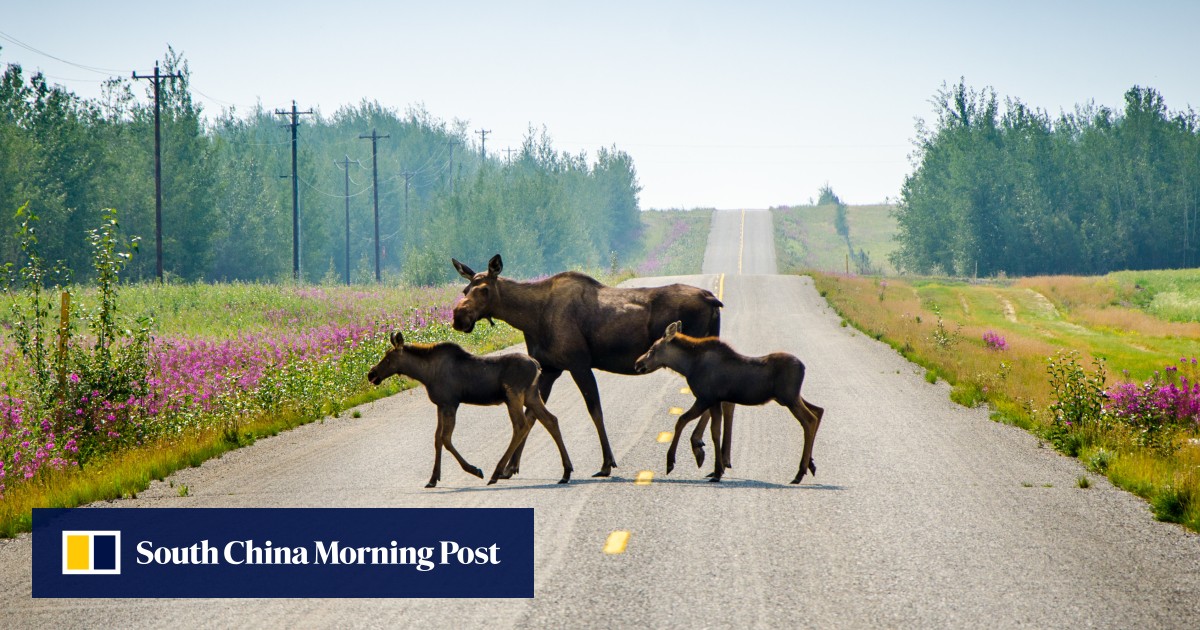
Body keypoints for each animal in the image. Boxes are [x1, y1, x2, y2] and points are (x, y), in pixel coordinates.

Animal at [366, 331, 573, 488]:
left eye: (388, 357)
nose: (371, 374)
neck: (424, 373)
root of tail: (537, 366)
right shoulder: (440, 405)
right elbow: (437, 439)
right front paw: (433, 479)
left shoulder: (450, 403)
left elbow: (446, 439)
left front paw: (474, 470)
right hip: (531, 395)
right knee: (550, 420)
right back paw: (566, 472)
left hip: (514, 396)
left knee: (521, 426)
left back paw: (496, 472)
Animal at [451, 254, 735, 478]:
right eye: (465, 290)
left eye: (484, 289)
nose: (458, 317)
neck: (531, 318)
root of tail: (713, 299)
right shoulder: (549, 370)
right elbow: (533, 416)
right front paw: (511, 467)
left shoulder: (578, 364)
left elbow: (594, 411)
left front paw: (607, 463)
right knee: (722, 400)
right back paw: (717, 455)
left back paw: (701, 447)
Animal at [633, 321, 823, 484]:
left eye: (652, 349)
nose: (637, 364)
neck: (687, 366)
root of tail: (804, 367)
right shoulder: (715, 401)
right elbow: (715, 431)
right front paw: (717, 470)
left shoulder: (705, 398)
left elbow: (682, 421)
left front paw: (671, 462)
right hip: (790, 398)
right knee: (818, 411)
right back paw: (809, 466)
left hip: (789, 398)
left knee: (809, 420)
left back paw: (799, 473)